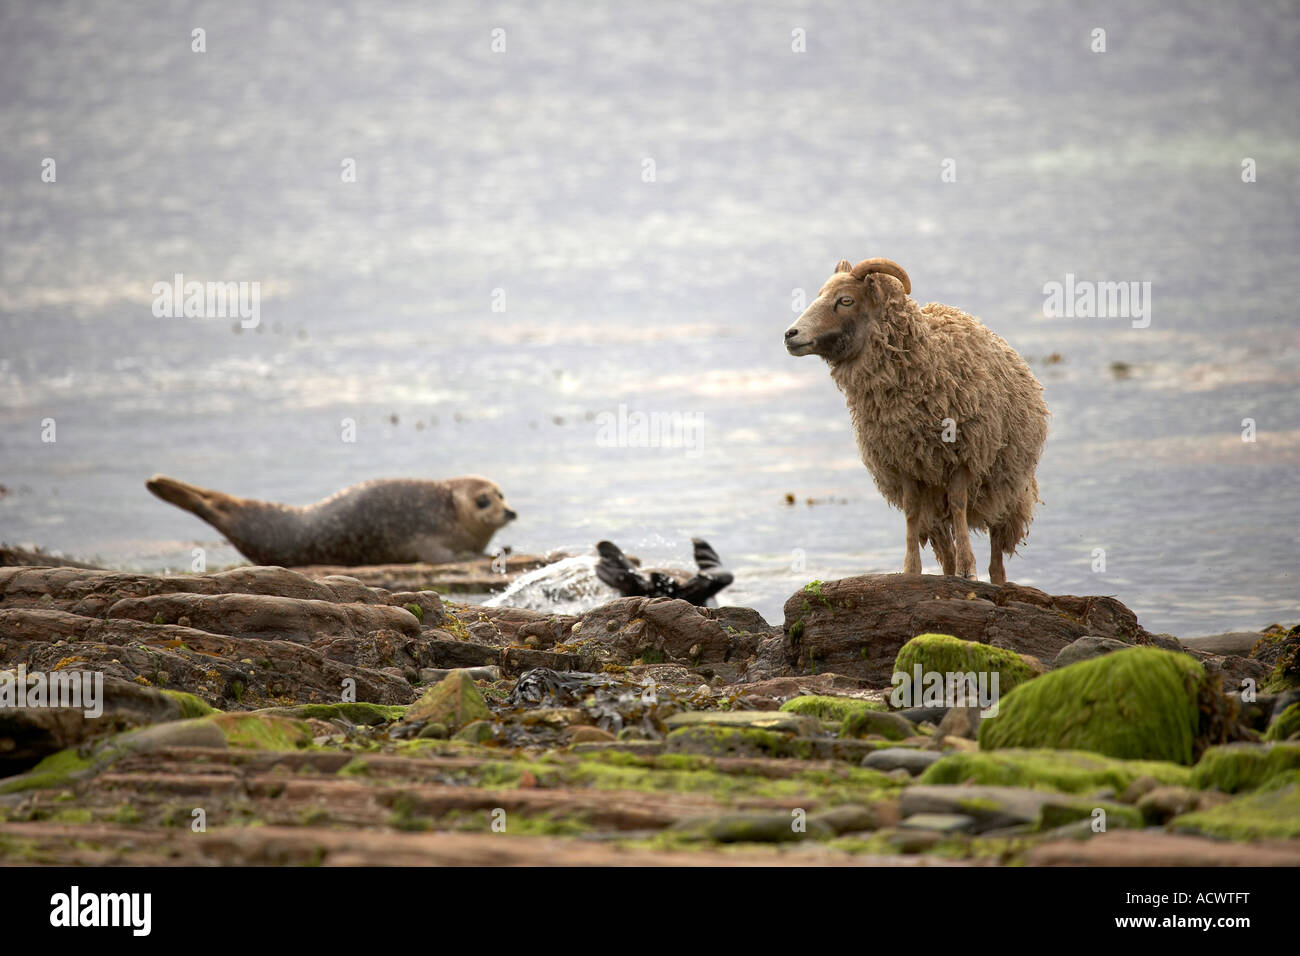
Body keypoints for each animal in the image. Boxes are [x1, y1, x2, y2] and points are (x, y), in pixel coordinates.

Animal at [784, 257, 1048, 584]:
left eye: (845, 300)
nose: (790, 334)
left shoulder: (964, 456)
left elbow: (959, 503)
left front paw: (968, 570)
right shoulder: (905, 461)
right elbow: (911, 512)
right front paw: (911, 569)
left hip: (1007, 489)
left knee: (997, 554)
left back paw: (992, 579)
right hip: (935, 505)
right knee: (944, 547)